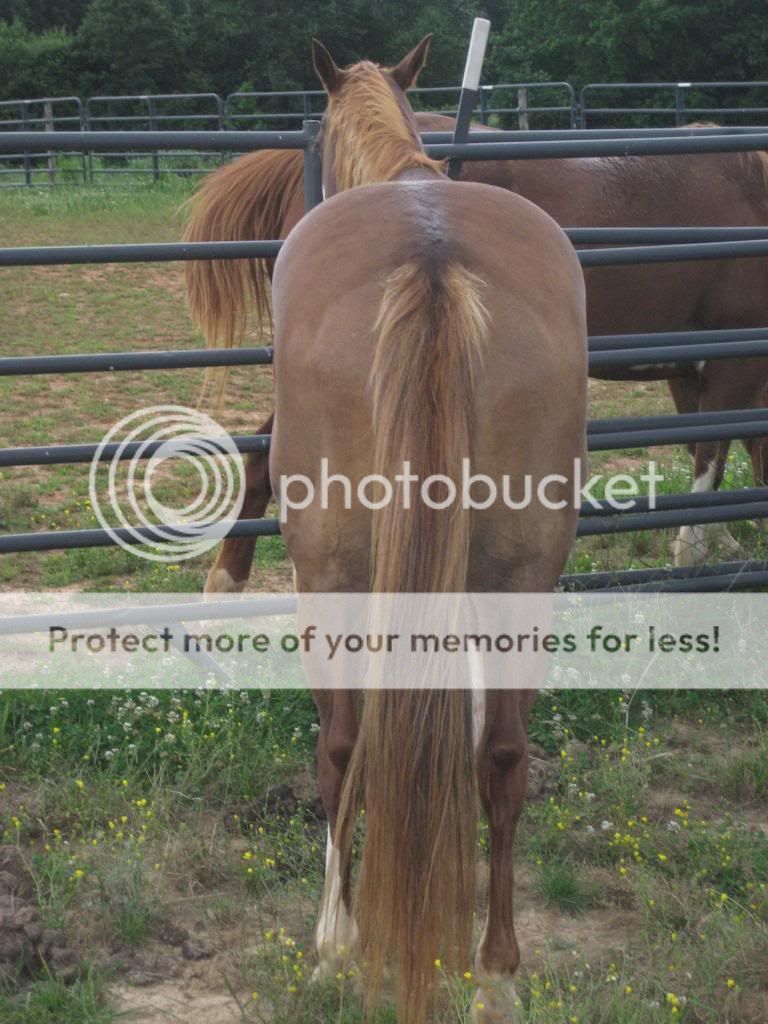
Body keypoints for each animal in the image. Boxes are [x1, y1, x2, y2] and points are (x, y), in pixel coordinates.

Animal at [268, 36, 587, 1024]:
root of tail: (433, 259)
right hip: (524, 575)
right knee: (503, 758)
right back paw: (497, 969)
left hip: (330, 572)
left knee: (341, 748)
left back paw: (336, 943)